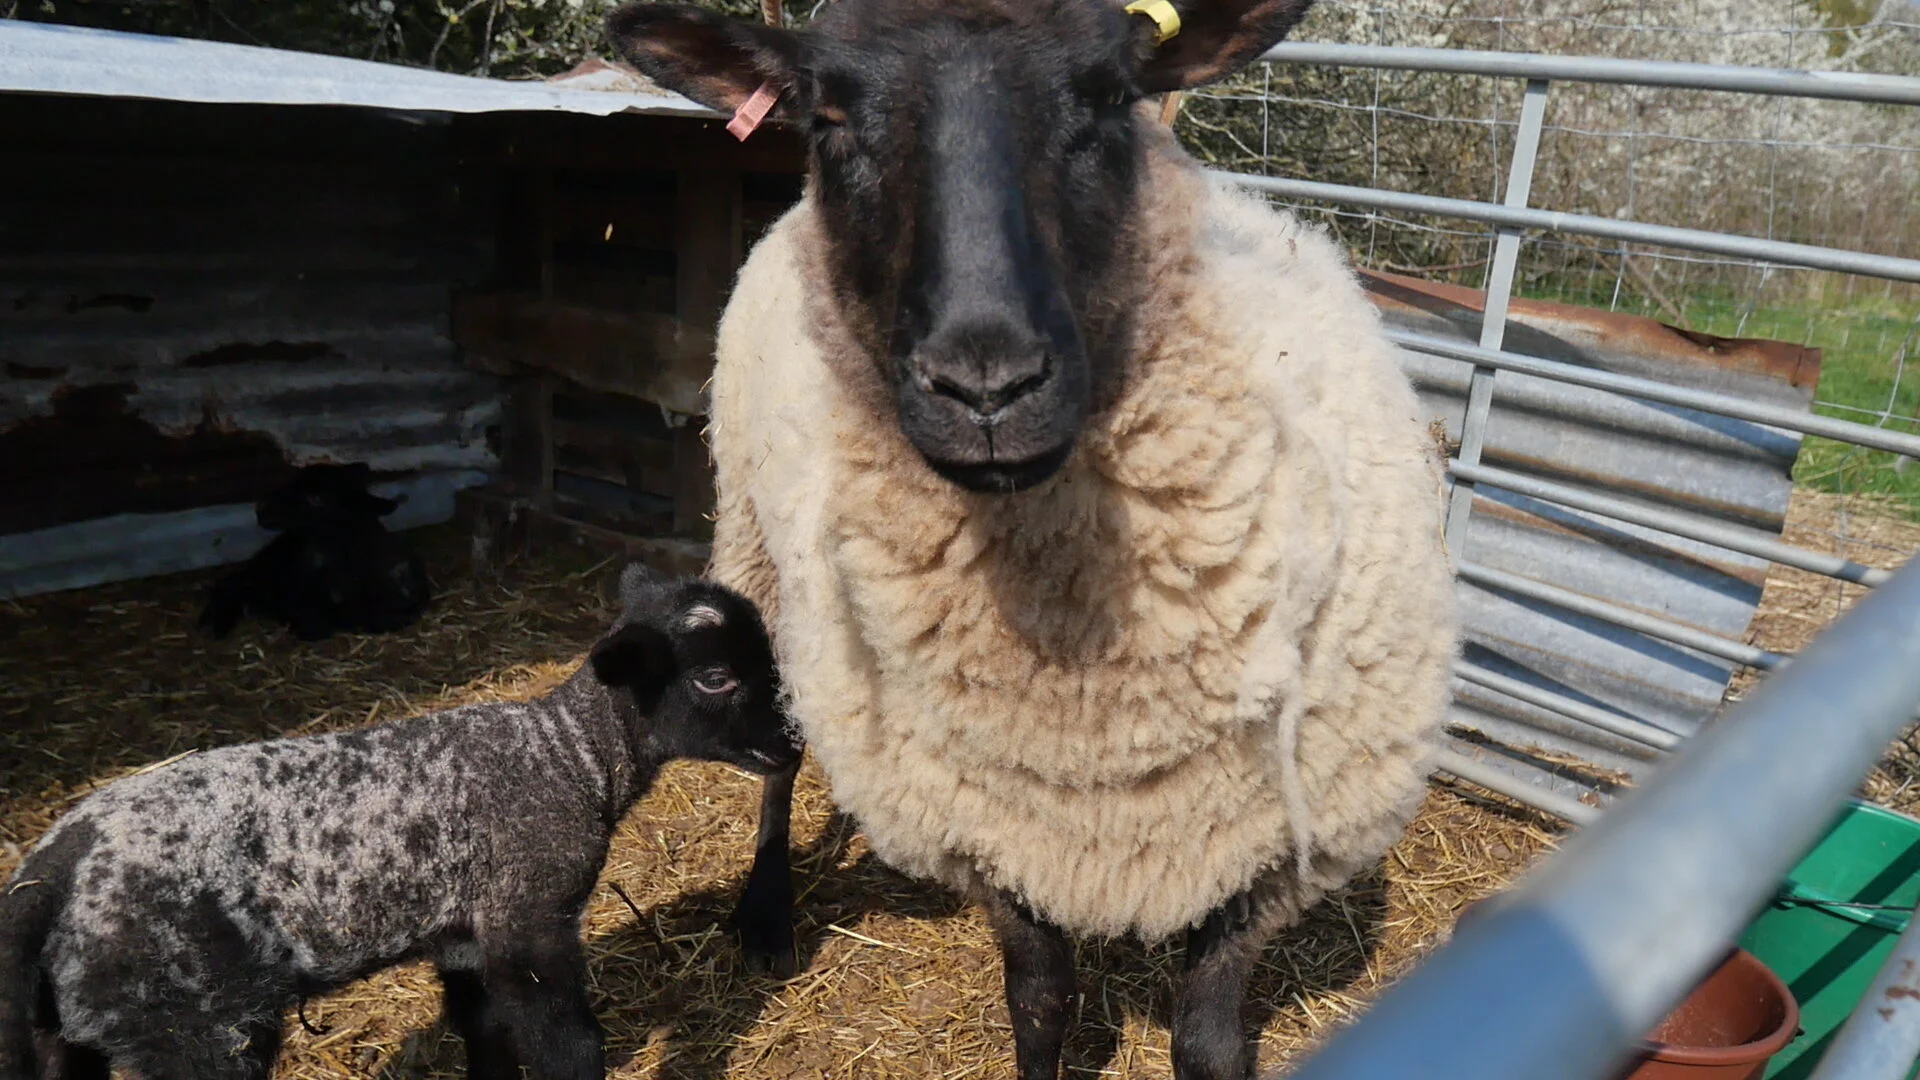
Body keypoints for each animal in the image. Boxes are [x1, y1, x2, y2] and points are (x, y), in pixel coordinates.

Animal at [0, 563, 799, 1080]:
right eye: (715, 678)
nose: (793, 740)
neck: (569, 755)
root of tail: (52, 869)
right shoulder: (528, 917)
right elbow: (567, 1048)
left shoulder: (464, 934)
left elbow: (485, 1037)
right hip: (192, 1020)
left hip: (70, 1029)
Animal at [609, 2, 1459, 1077]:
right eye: (827, 118)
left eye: (1110, 96)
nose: (987, 385)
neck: (1094, 684)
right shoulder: (991, 825)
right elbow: (1042, 1000)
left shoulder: (1274, 842)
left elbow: (1208, 1039)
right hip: (758, 550)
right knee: (780, 749)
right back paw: (766, 916)